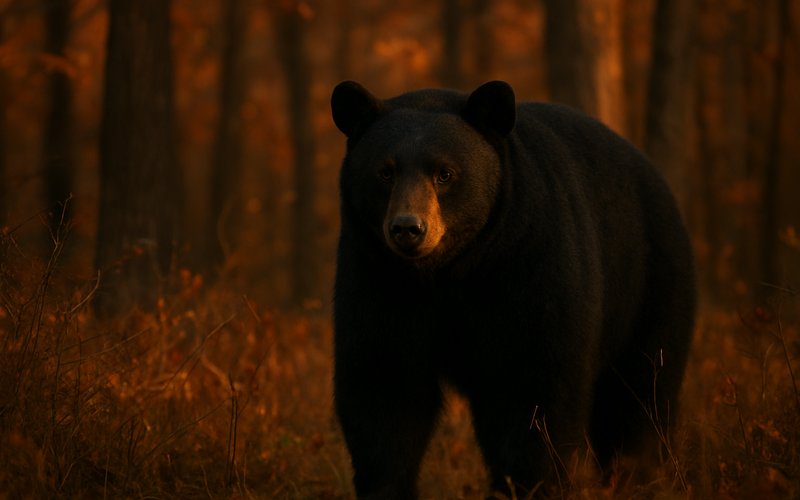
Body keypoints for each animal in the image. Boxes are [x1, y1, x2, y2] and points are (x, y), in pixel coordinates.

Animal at [330, 80, 696, 499]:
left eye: (445, 173)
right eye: (385, 172)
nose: (408, 228)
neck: (448, 274)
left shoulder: (529, 267)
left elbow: (533, 390)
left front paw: (531, 484)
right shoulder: (378, 279)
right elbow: (383, 387)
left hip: (650, 283)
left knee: (641, 394)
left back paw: (642, 478)